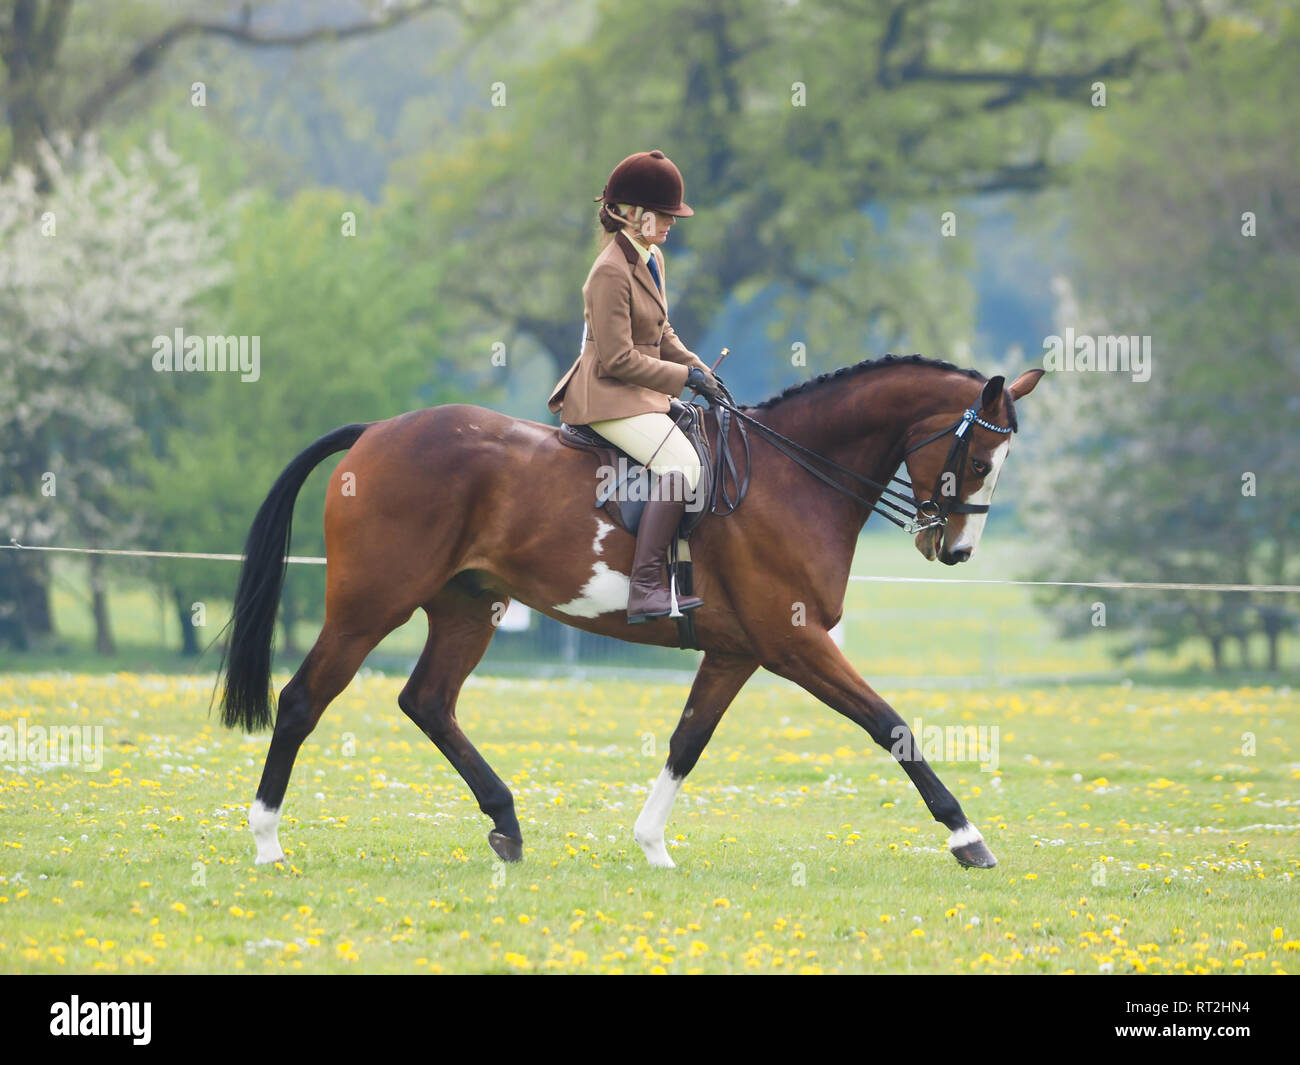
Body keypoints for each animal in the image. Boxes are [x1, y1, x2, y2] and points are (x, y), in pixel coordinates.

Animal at [217, 354, 1044, 871]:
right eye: (978, 460)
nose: (955, 549)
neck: (794, 475)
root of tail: (377, 431)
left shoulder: (737, 652)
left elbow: (688, 740)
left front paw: (652, 843)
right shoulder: (796, 643)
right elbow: (890, 723)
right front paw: (967, 835)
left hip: (468, 607)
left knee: (428, 701)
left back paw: (506, 822)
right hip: (369, 604)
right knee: (303, 699)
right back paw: (266, 839)